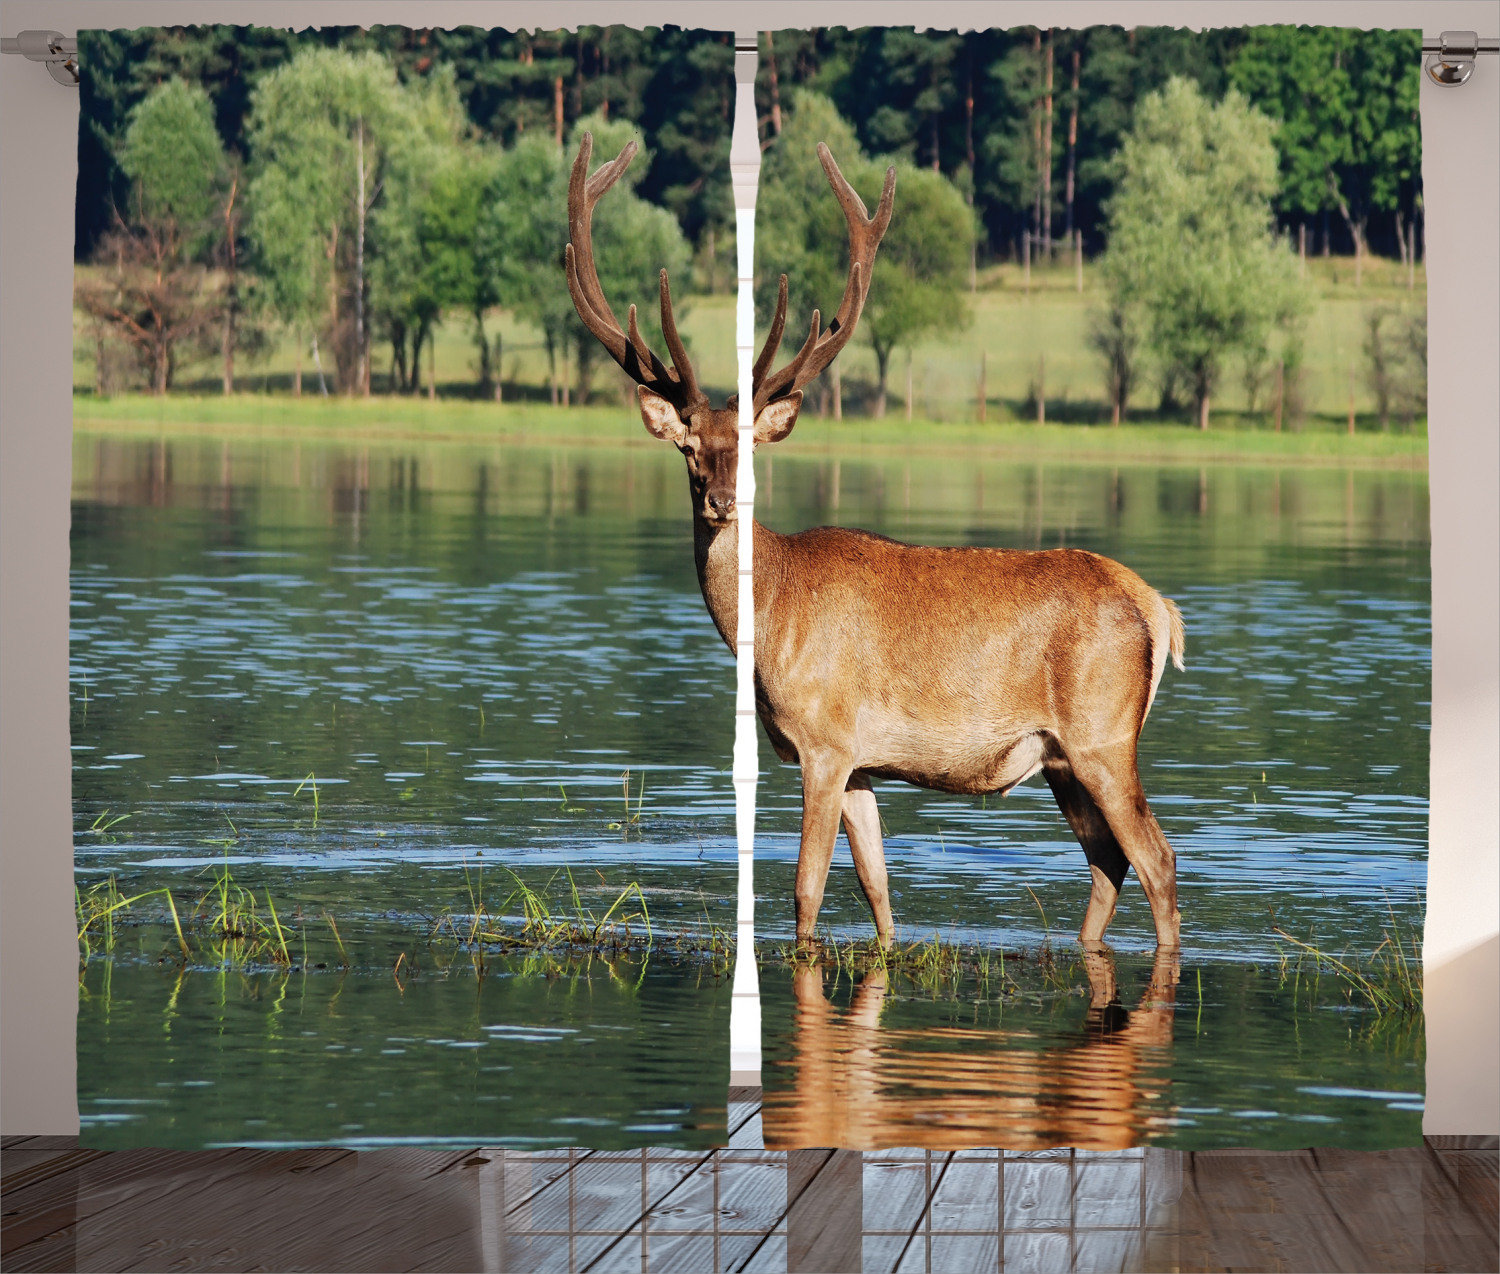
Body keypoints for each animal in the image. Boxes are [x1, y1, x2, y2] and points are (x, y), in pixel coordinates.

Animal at [565, 133, 1186, 954]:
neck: (773, 621)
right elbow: (879, 890)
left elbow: (804, 891)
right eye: (689, 448)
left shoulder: (825, 743)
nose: (721, 501)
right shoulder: (861, 764)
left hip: (1104, 737)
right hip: (1061, 758)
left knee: (1157, 859)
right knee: (1109, 863)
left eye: (748, 447)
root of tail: (1158, 609)